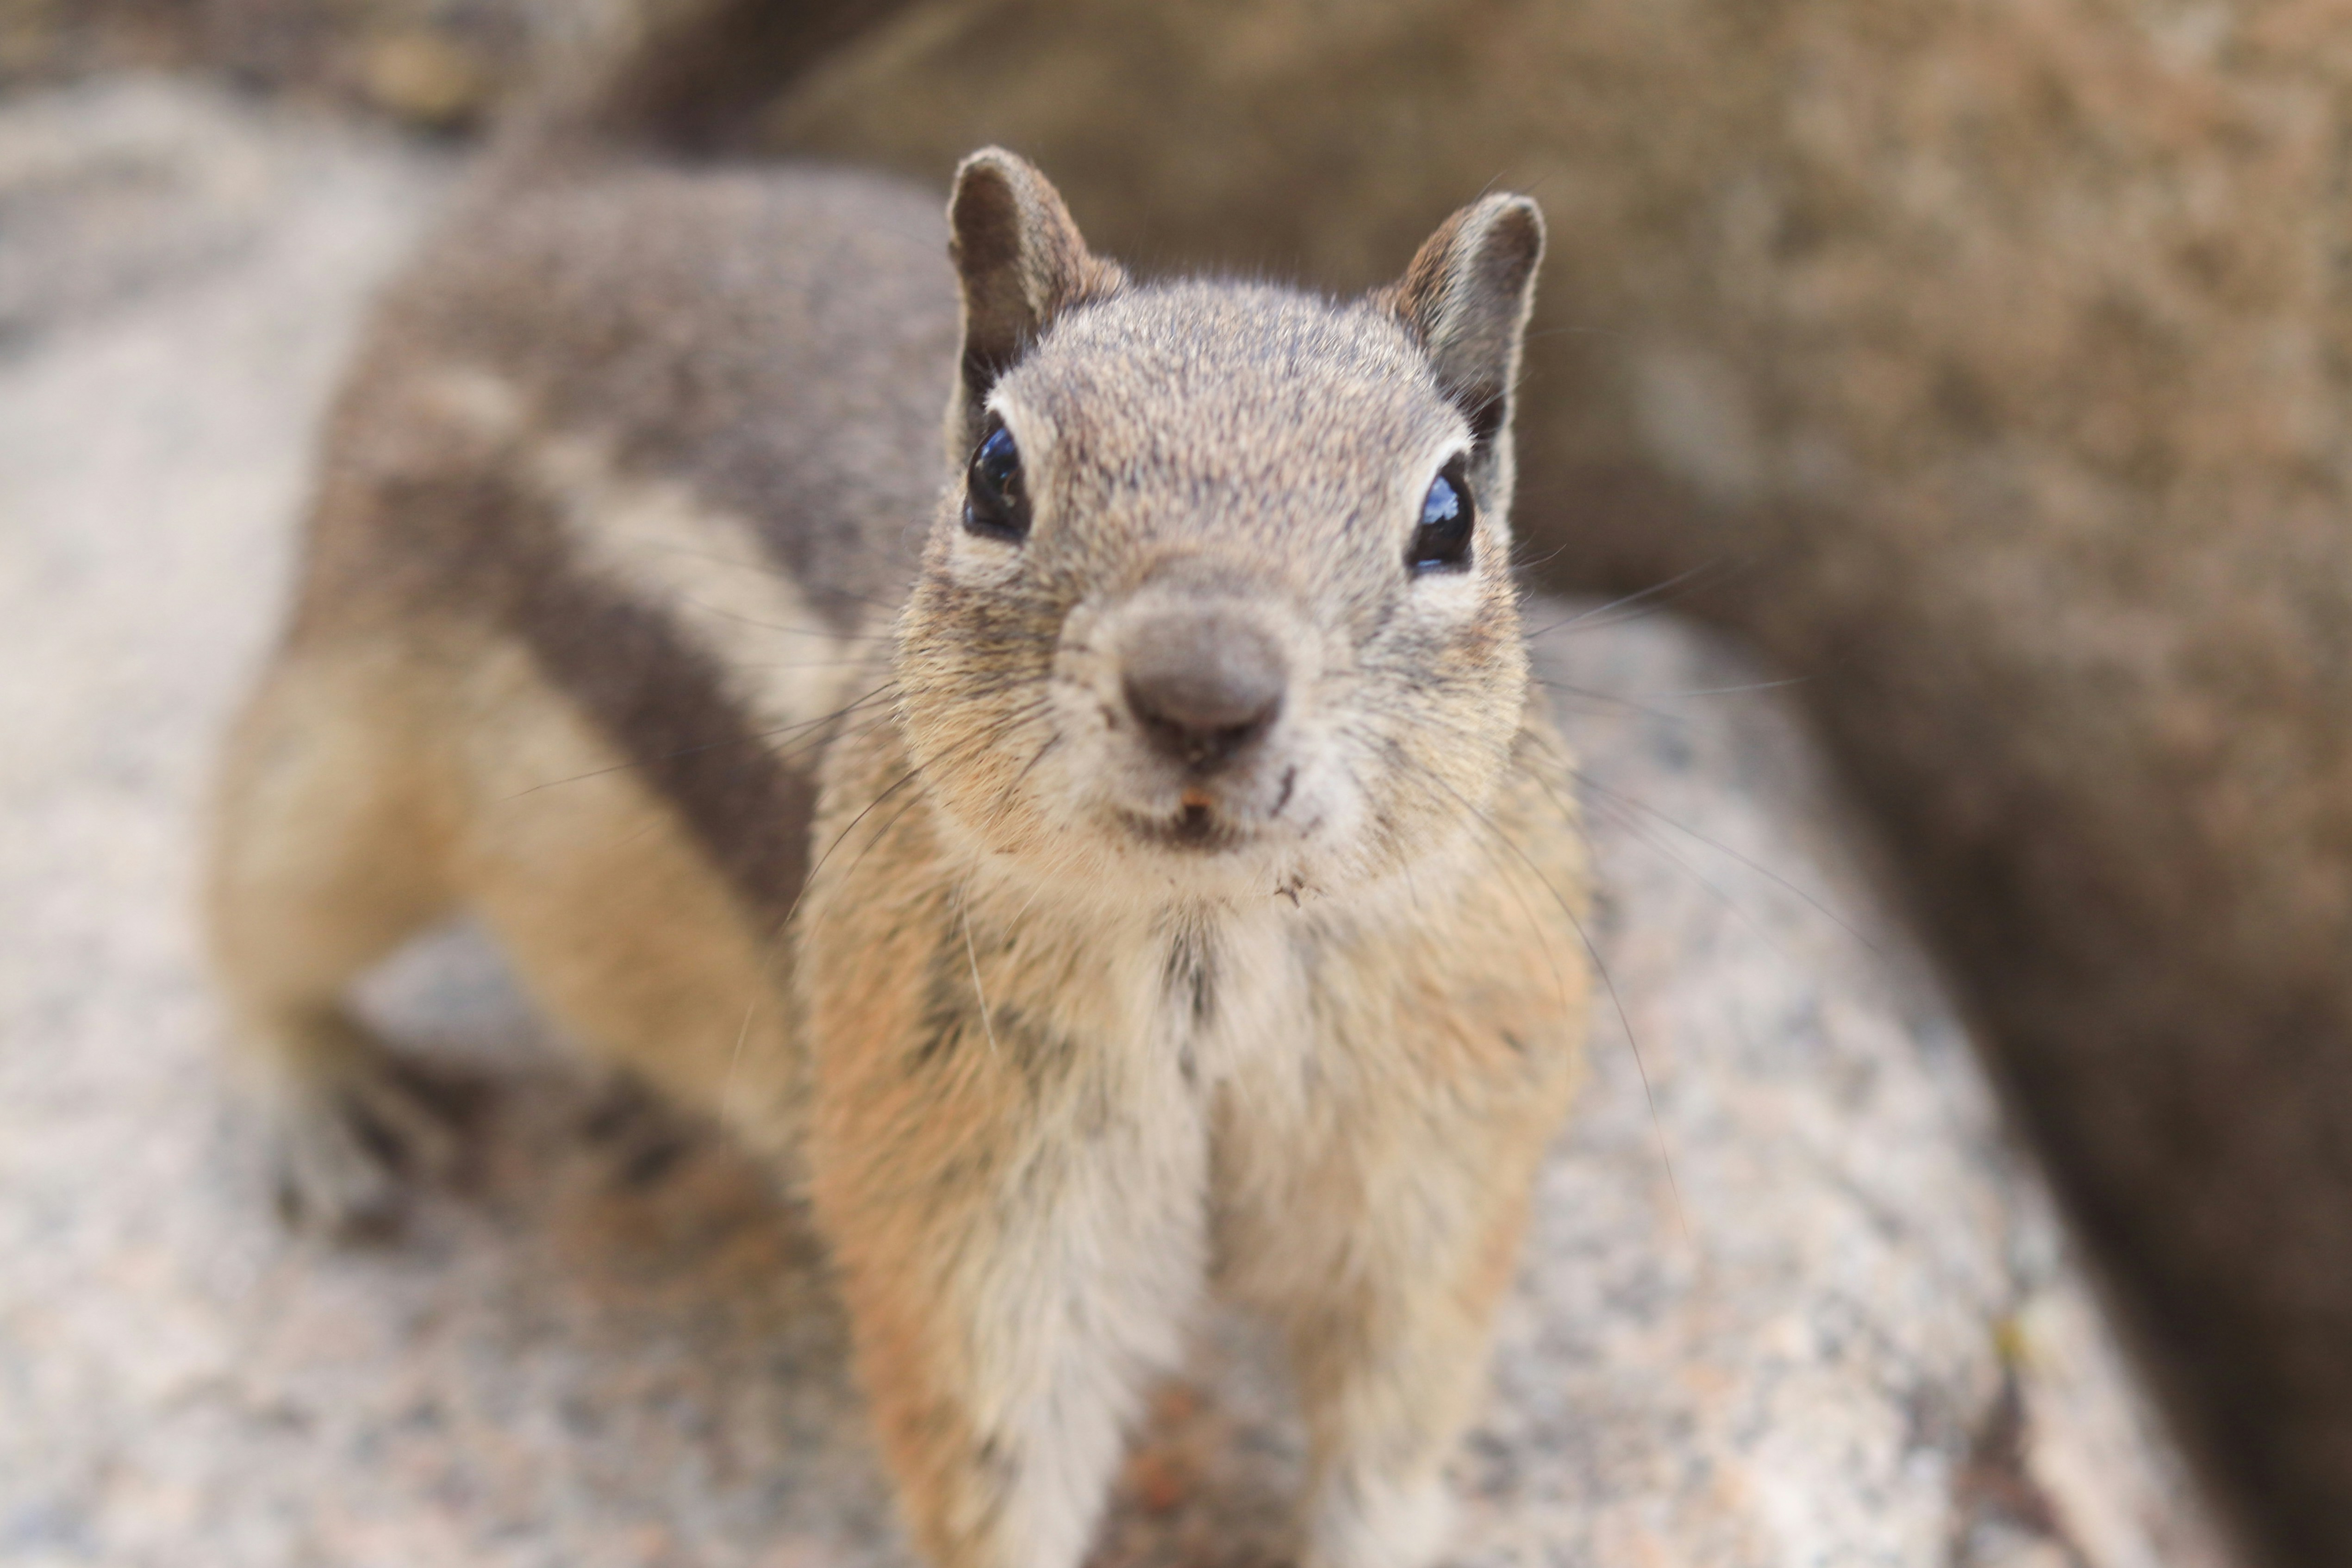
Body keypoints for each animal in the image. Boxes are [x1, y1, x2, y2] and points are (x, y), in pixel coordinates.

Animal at [203, 3, 1591, 1563]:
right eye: (995, 474)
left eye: (1446, 513)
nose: (1203, 693)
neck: (1211, 942)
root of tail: (562, 198)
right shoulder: (972, 1187)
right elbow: (999, 1431)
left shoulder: (1432, 1166)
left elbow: (1395, 1411)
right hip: (342, 742)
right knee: (249, 902)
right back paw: (316, 1094)